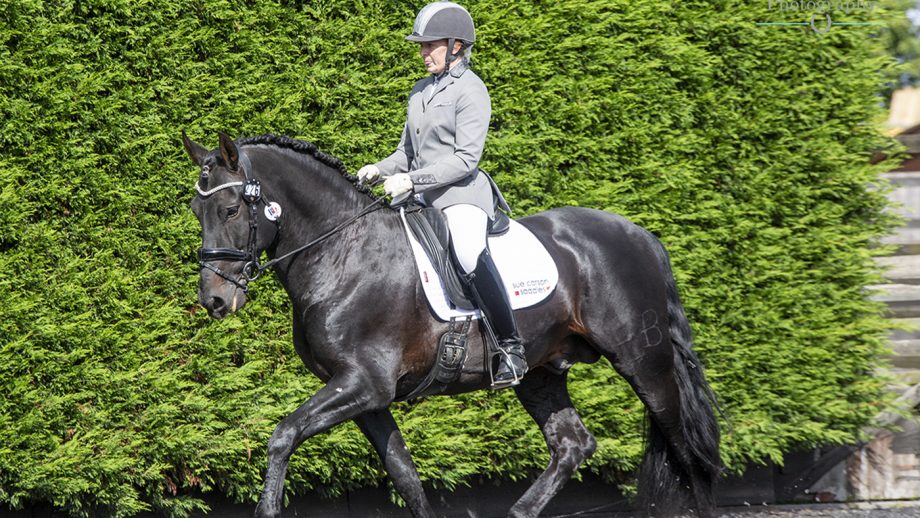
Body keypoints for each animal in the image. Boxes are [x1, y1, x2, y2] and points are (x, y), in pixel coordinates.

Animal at [183, 131, 721, 518]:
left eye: (230, 209)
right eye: (195, 209)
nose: (214, 299)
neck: (342, 250)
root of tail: (641, 235)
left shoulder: (364, 383)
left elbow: (283, 435)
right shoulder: (365, 396)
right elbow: (403, 472)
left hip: (643, 362)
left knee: (687, 450)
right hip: (540, 372)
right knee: (573, 444)